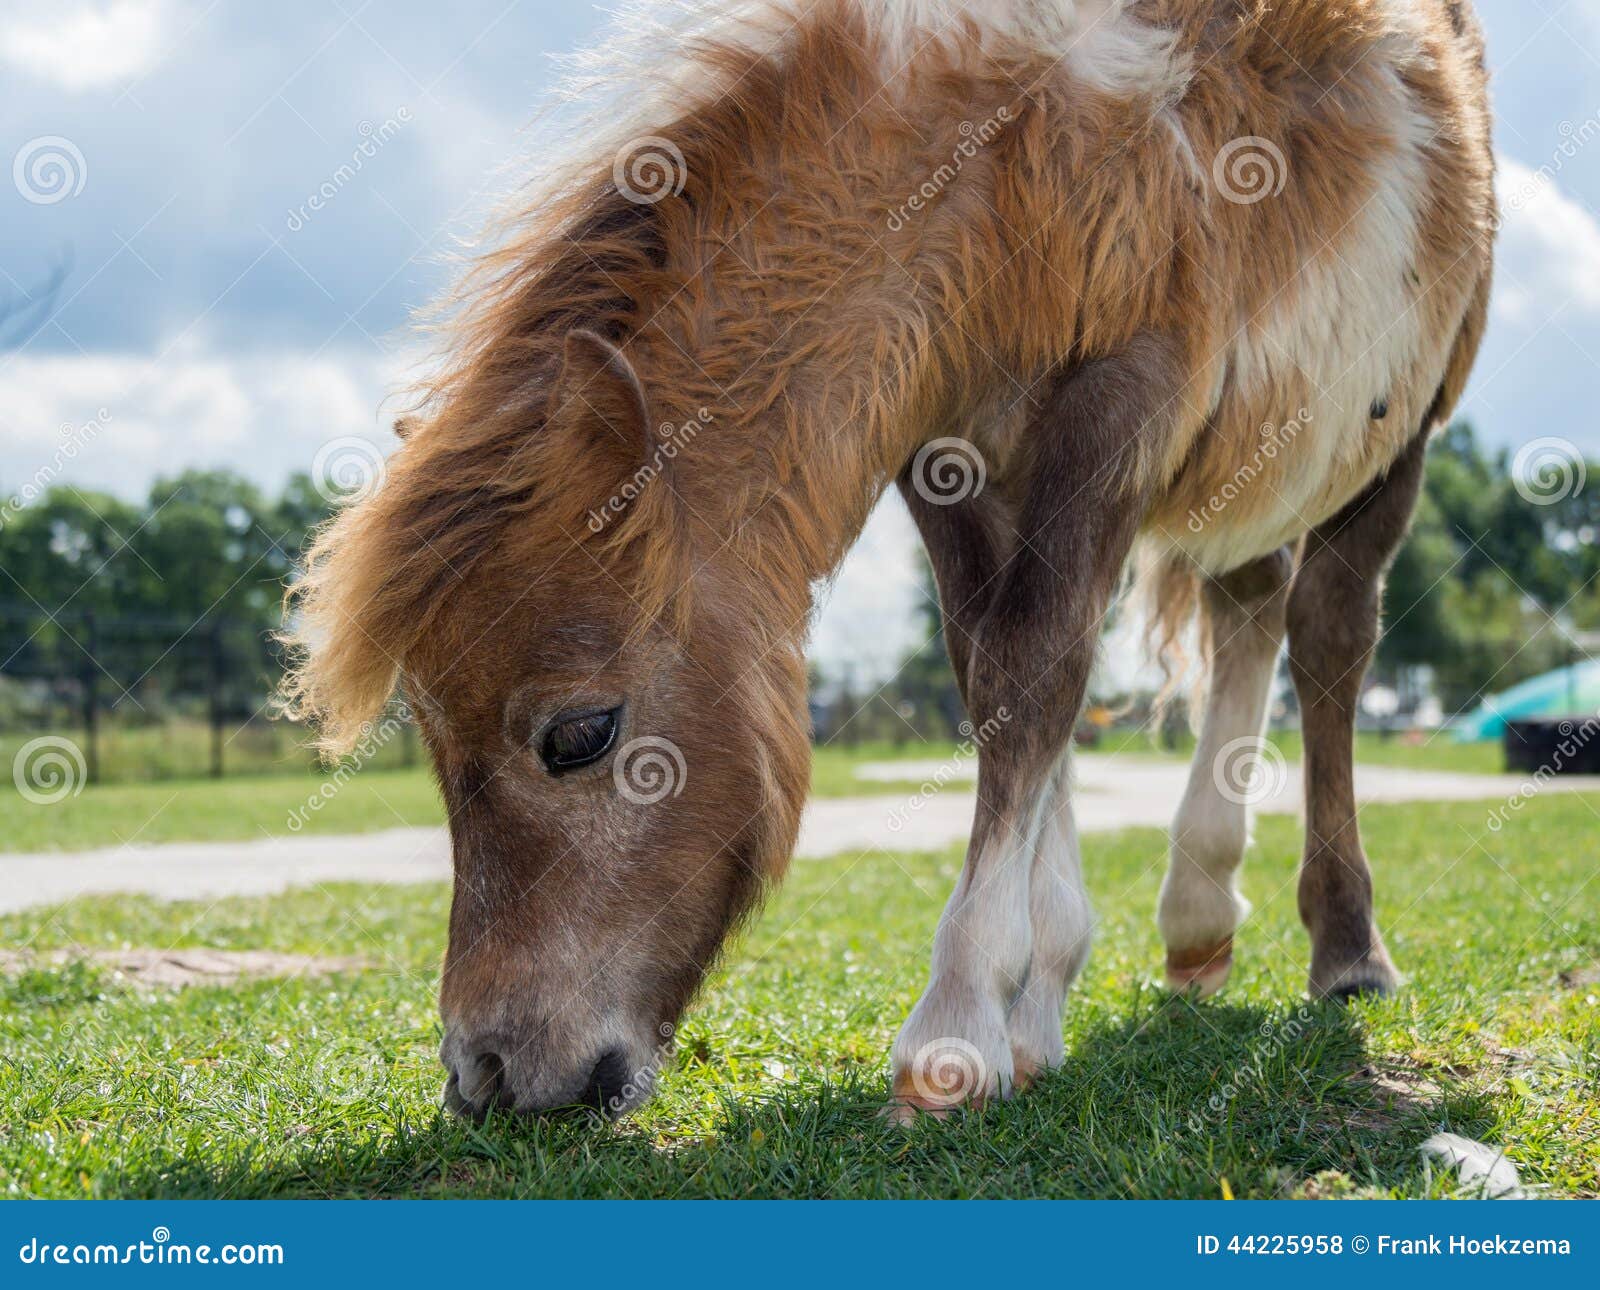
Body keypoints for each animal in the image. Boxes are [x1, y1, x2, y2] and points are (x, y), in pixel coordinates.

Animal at [281, 0, 1495, 1119]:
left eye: (579, 736)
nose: (483, 1071)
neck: (1011, 153)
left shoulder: (1124, 396)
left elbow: (1035, 673)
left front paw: (956, 1030)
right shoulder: (946, 448)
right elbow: (997, 672)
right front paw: (1035, 1006)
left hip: (1394, 435)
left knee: (1329, 633)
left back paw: (1346, 948)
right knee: (1249, 603)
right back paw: (1196, 924)